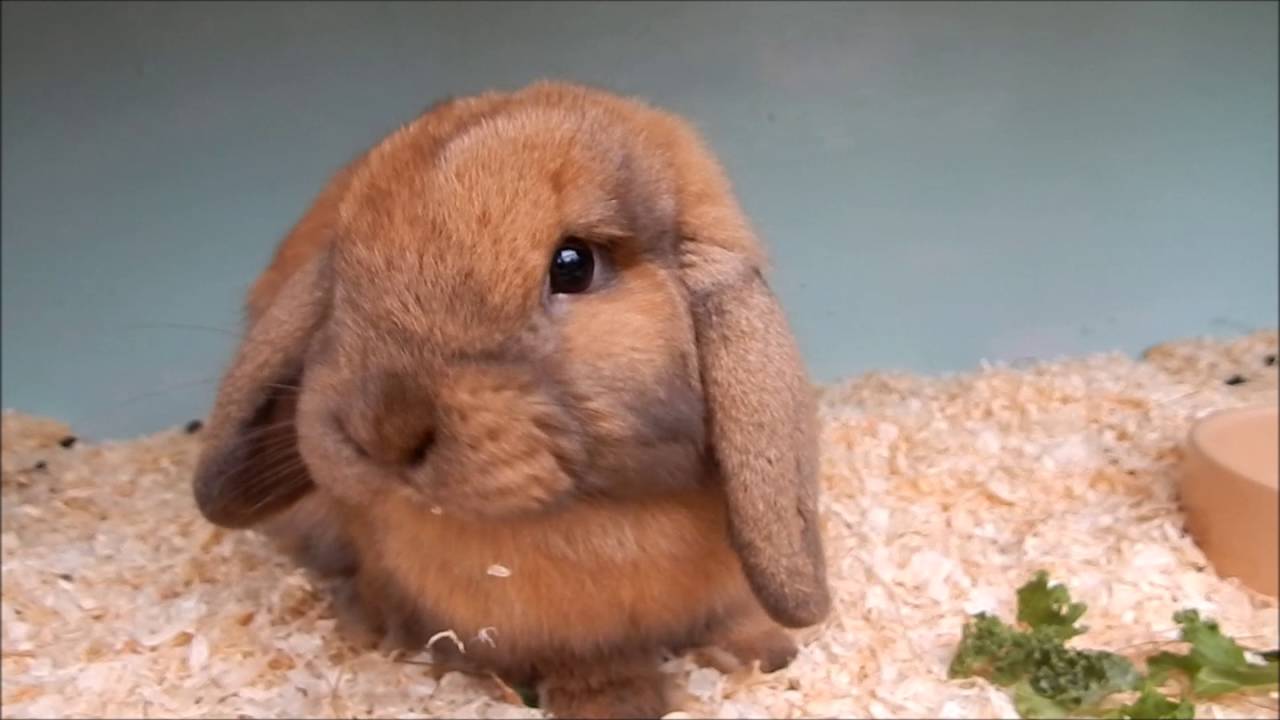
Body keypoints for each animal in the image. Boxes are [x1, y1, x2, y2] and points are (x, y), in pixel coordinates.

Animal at [191, 81, 830, 718]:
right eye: (343, 272)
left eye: (573, 264)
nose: (383, 429)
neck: (597, 512)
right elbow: (593, 661)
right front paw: (616, 703)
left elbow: (731, 615)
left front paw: (768, 653)